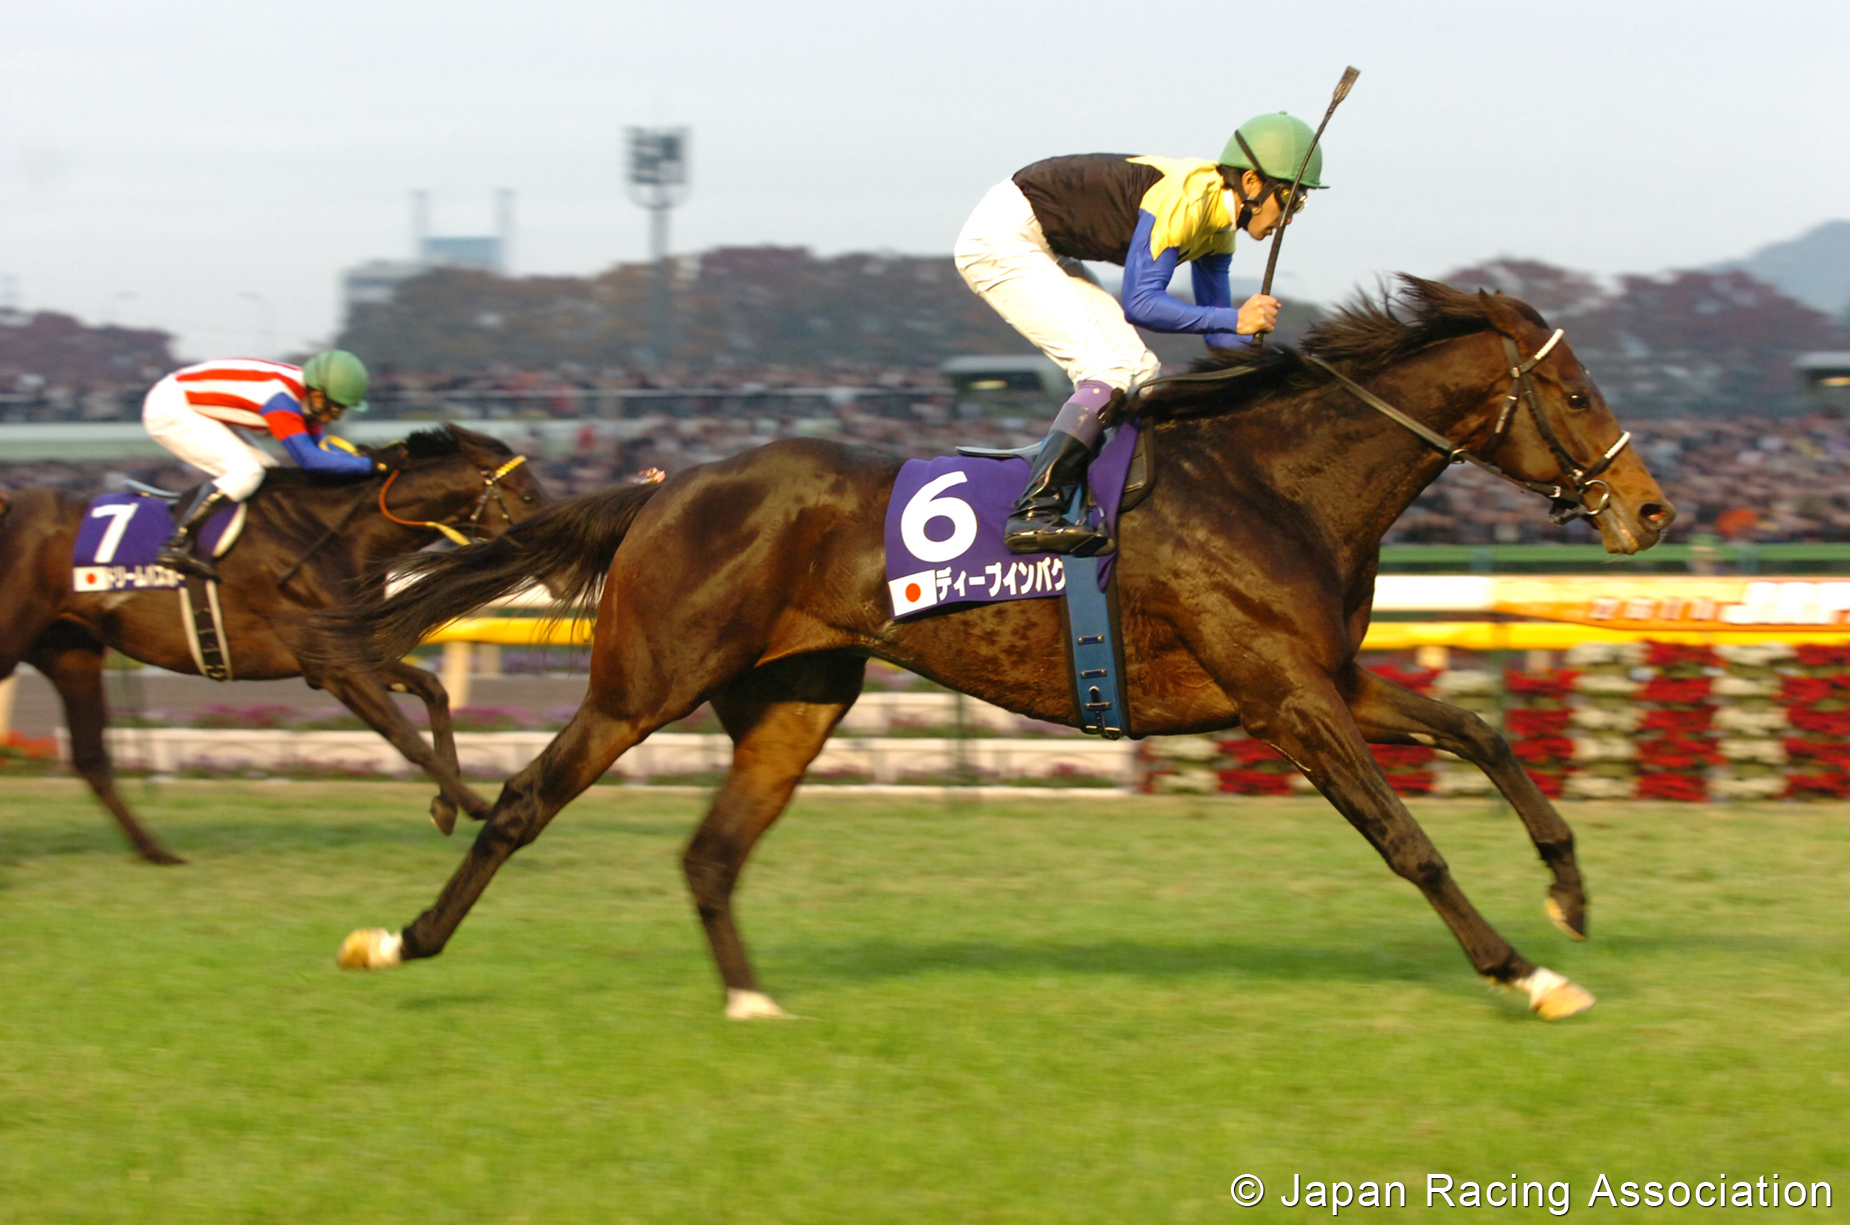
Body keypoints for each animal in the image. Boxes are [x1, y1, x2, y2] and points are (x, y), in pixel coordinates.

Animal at [0, 424, 546, 864]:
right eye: (526, 495)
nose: (556, 536)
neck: (330, 536)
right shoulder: (334, 667)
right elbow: (402, 735)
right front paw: (476, 803)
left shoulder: (350, 649)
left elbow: (434, 690)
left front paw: (446, 805)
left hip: (71, 652)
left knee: (91, 759)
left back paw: (156, 852)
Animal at [325, 279, 1674, 1023]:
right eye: (1576, 395)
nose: (1651, 510)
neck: (1269, 479)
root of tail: (667, 487)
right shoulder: (1280, 693)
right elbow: (1404, 835)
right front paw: (1518, 971)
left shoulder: (1325, 675)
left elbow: (1483, 729)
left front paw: (1566, 892)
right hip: (646, 680)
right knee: (523, 799)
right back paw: (397, 939)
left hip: (796, 697)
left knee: (711, 851)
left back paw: (752, 999)